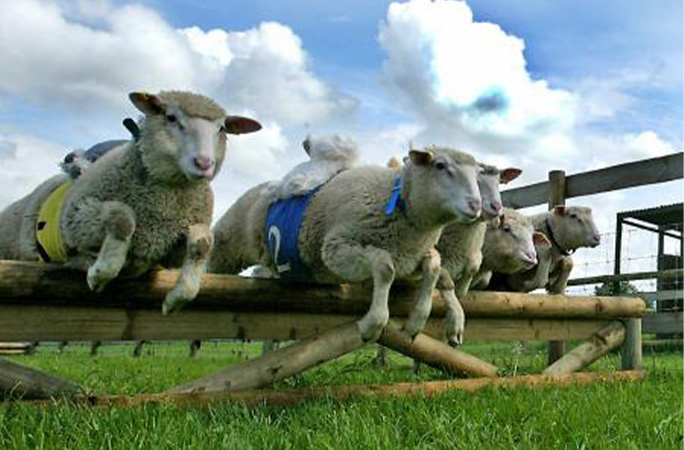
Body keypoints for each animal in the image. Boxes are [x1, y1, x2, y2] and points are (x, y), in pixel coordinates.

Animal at [0, 90, 262, 314]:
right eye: (170, 117)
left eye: (221, 128)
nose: (204, 163)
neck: (165, 204)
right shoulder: (76, 219)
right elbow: (123, 218)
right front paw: (100, 273)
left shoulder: (168, 246)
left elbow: (203, 242)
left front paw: (177, 299)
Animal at [209, 146, 482, 343]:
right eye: (440, 165)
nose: (476, 205)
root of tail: (264, 187)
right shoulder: (335, 249)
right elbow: (384, 268)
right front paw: (371, 325)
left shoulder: (410, 259)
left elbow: (434, 268)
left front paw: (418, 322)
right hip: (226, 248)